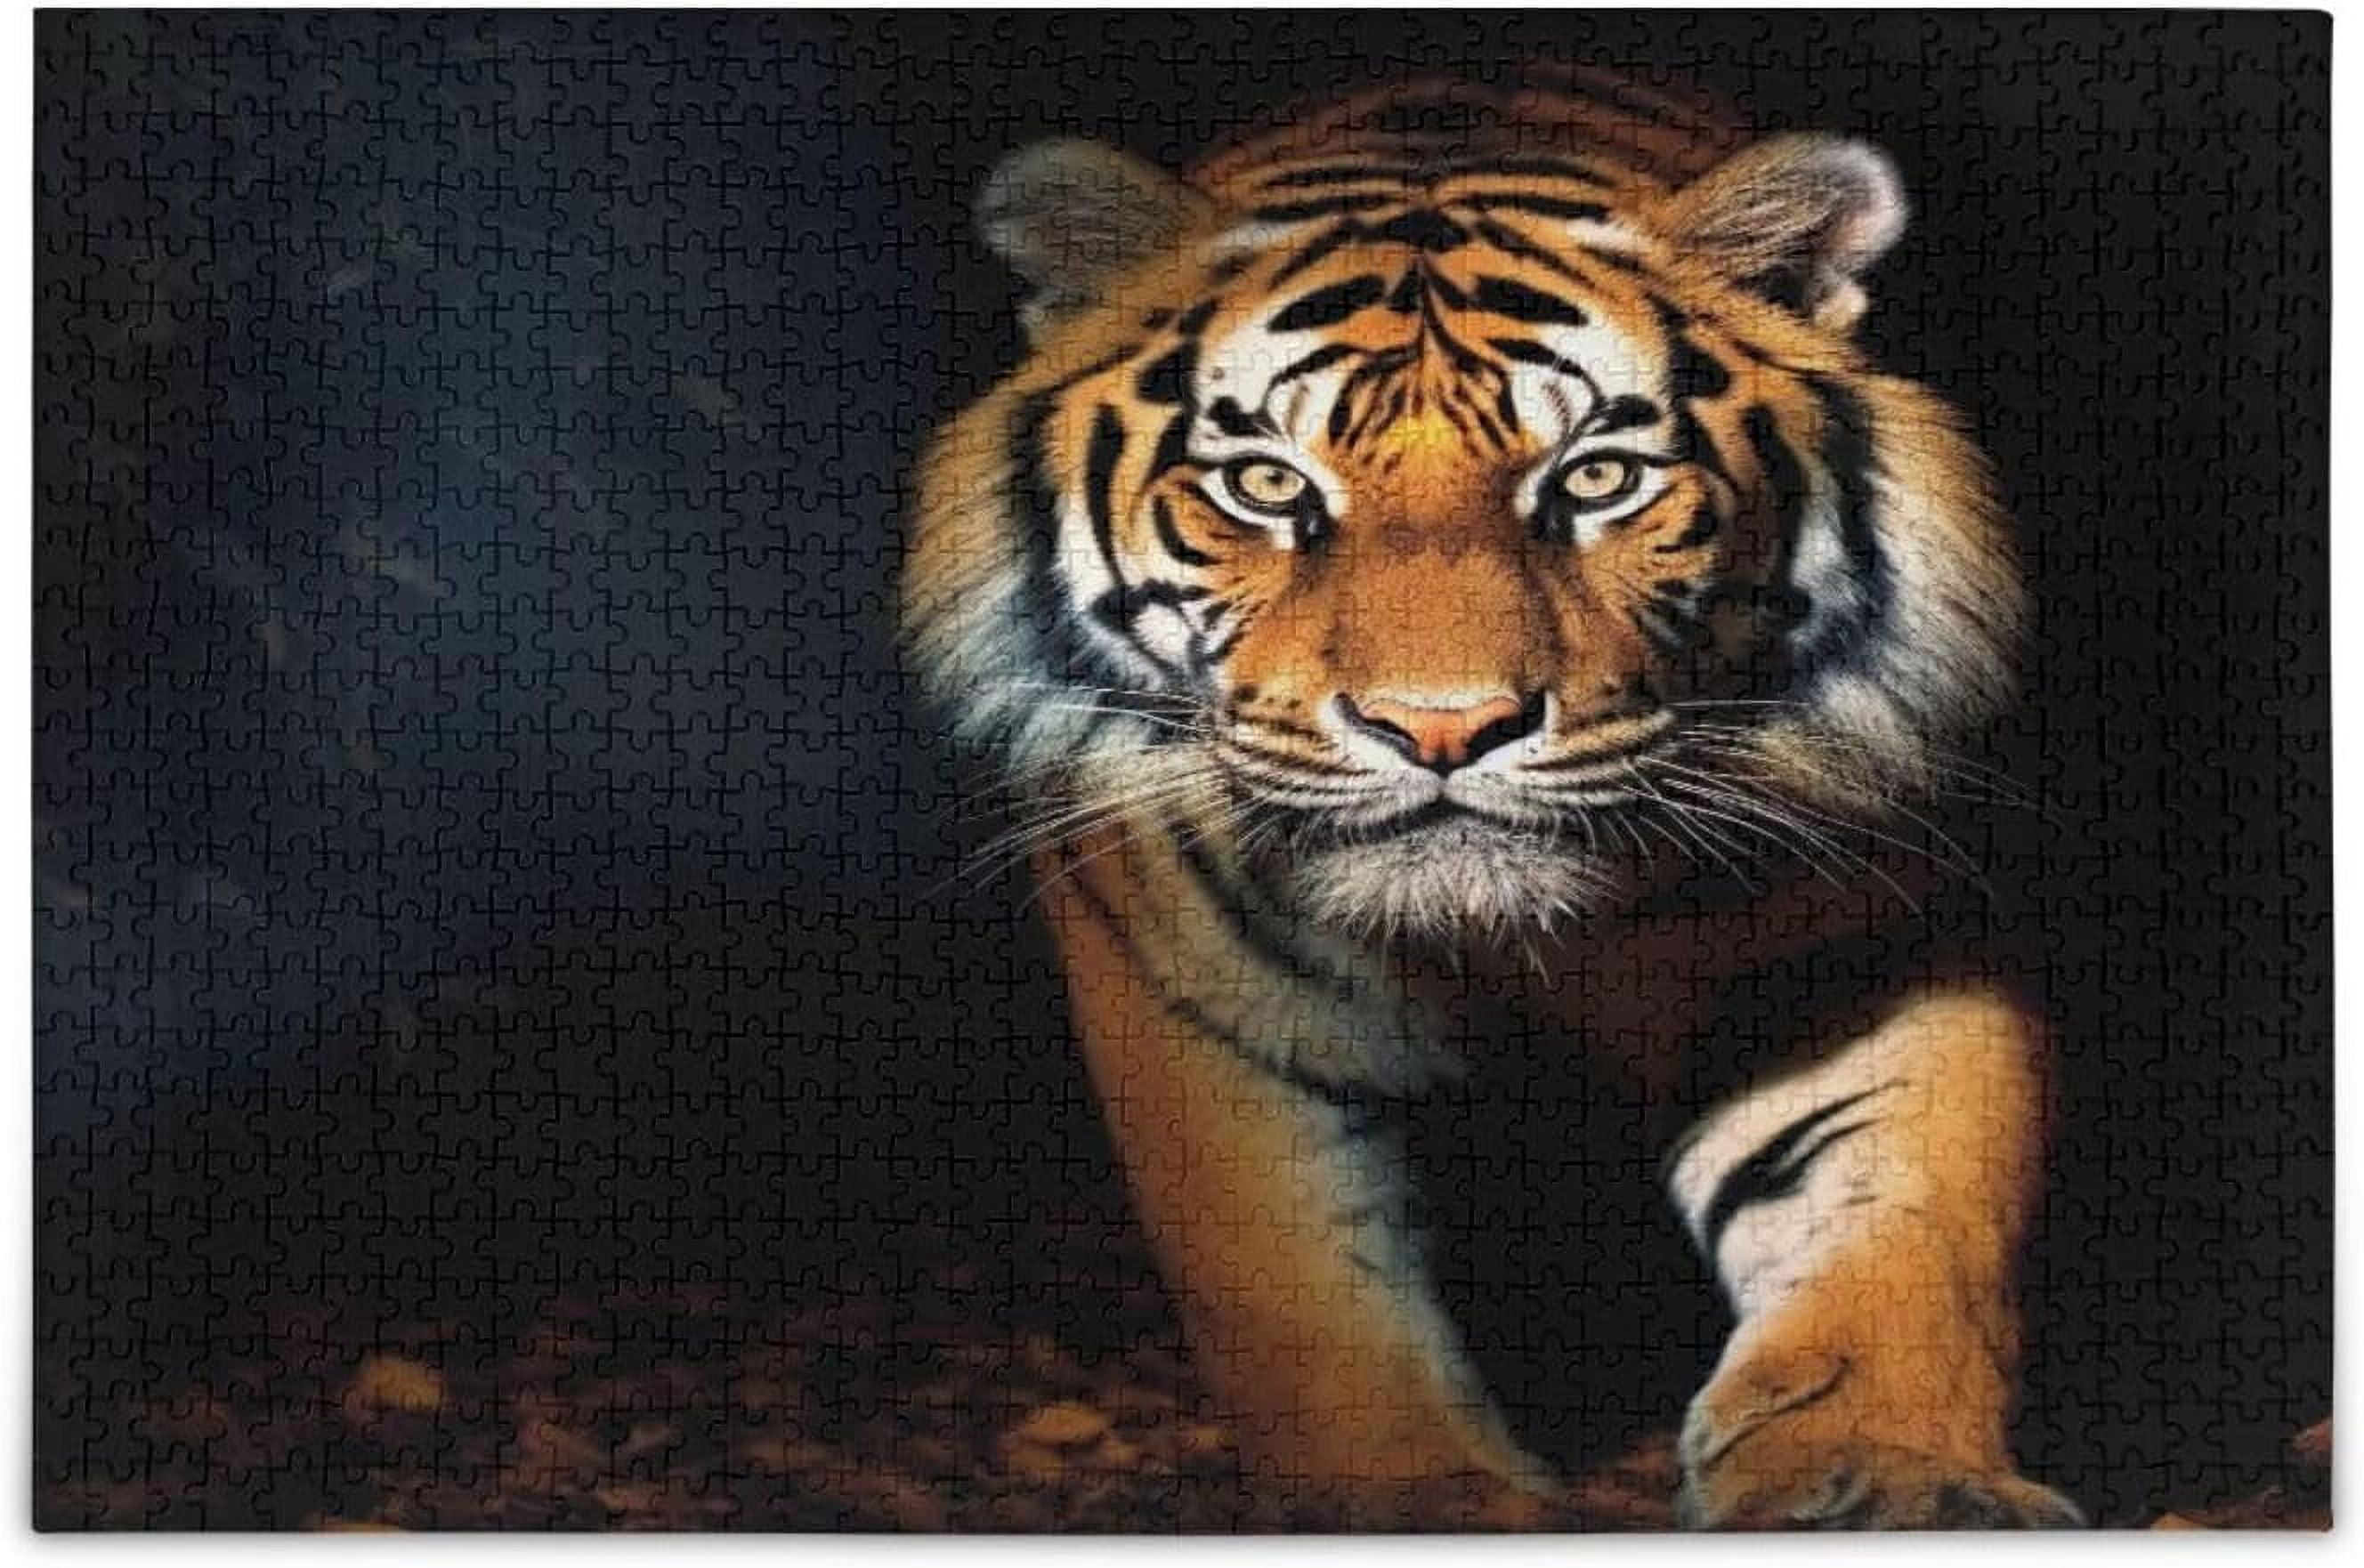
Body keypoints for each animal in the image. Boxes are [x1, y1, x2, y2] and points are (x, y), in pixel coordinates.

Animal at [903, 74, 2083, 1529]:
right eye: (1267, 484)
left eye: (1595, 478)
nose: (1442, 725)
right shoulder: (1202, 1014)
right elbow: (1297, 1290)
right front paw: (1408, 1498)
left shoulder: (1877, 947)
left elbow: (1905, 1234)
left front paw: (1885, 1476)